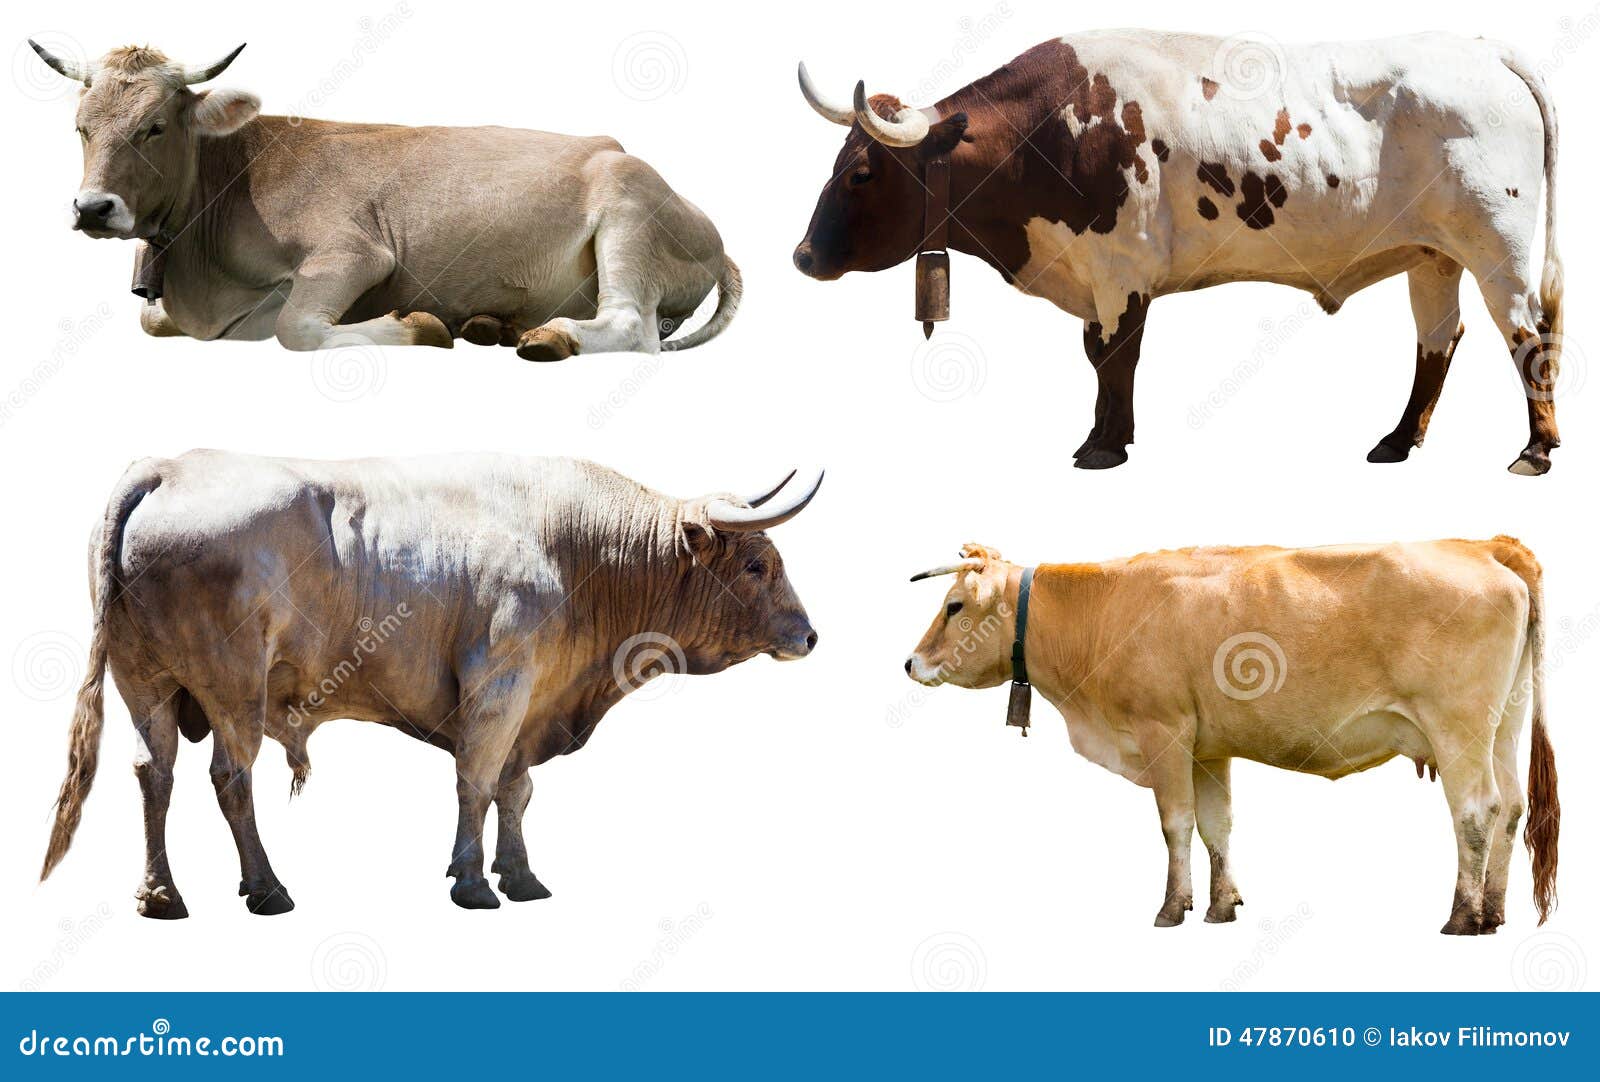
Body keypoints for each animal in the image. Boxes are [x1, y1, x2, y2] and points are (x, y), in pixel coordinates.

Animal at [30, 41, 738, 359]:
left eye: (154, 126)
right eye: (81, 128)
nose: (92, 209)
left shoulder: (355, 253)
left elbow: (297, 328)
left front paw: (420, 325)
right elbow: (155, 320)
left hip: (629, 211)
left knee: (633, 328)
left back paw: (544, 336)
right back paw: (492, 326)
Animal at [40, 453, 820, 914]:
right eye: (757, 565)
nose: (809, 635)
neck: (576, 548)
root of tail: (167, 468)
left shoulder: (532, 700)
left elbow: (515, 790)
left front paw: (521, 875)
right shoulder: (500, 686)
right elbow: (477, 783)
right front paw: (472, 881)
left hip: (147, 683)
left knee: (155, 772)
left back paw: (161, 894)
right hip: (234, 689)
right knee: (230, 777)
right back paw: (266, 887)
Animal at [796, 32, 1564, 474]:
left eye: (862, 172)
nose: (802, 256)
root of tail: (1483, 52)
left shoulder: (1121, 266)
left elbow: (1116, 356)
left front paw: (1105, 447)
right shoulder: (1093, 274)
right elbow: (1097, 354)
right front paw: (1106, 434)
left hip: (1499, 249)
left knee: (1528, 335)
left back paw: (1535, 450)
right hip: (1433, 254)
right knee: (1439, 339)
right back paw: (1399, 441)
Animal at [904, 539, 1558, 934]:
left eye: (955, 606)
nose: (910, 663)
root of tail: (1483, 545)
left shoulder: (1164, 730)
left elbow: (1175, 824)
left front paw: (1173, 907)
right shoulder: (1208, 746)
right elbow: (1216, 825)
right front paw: (1221, 905)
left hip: (1458, 725)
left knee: (1475, 811)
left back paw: (1463, 916)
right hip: (1504, 724)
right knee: (1510, 809)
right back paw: (1494, 912)